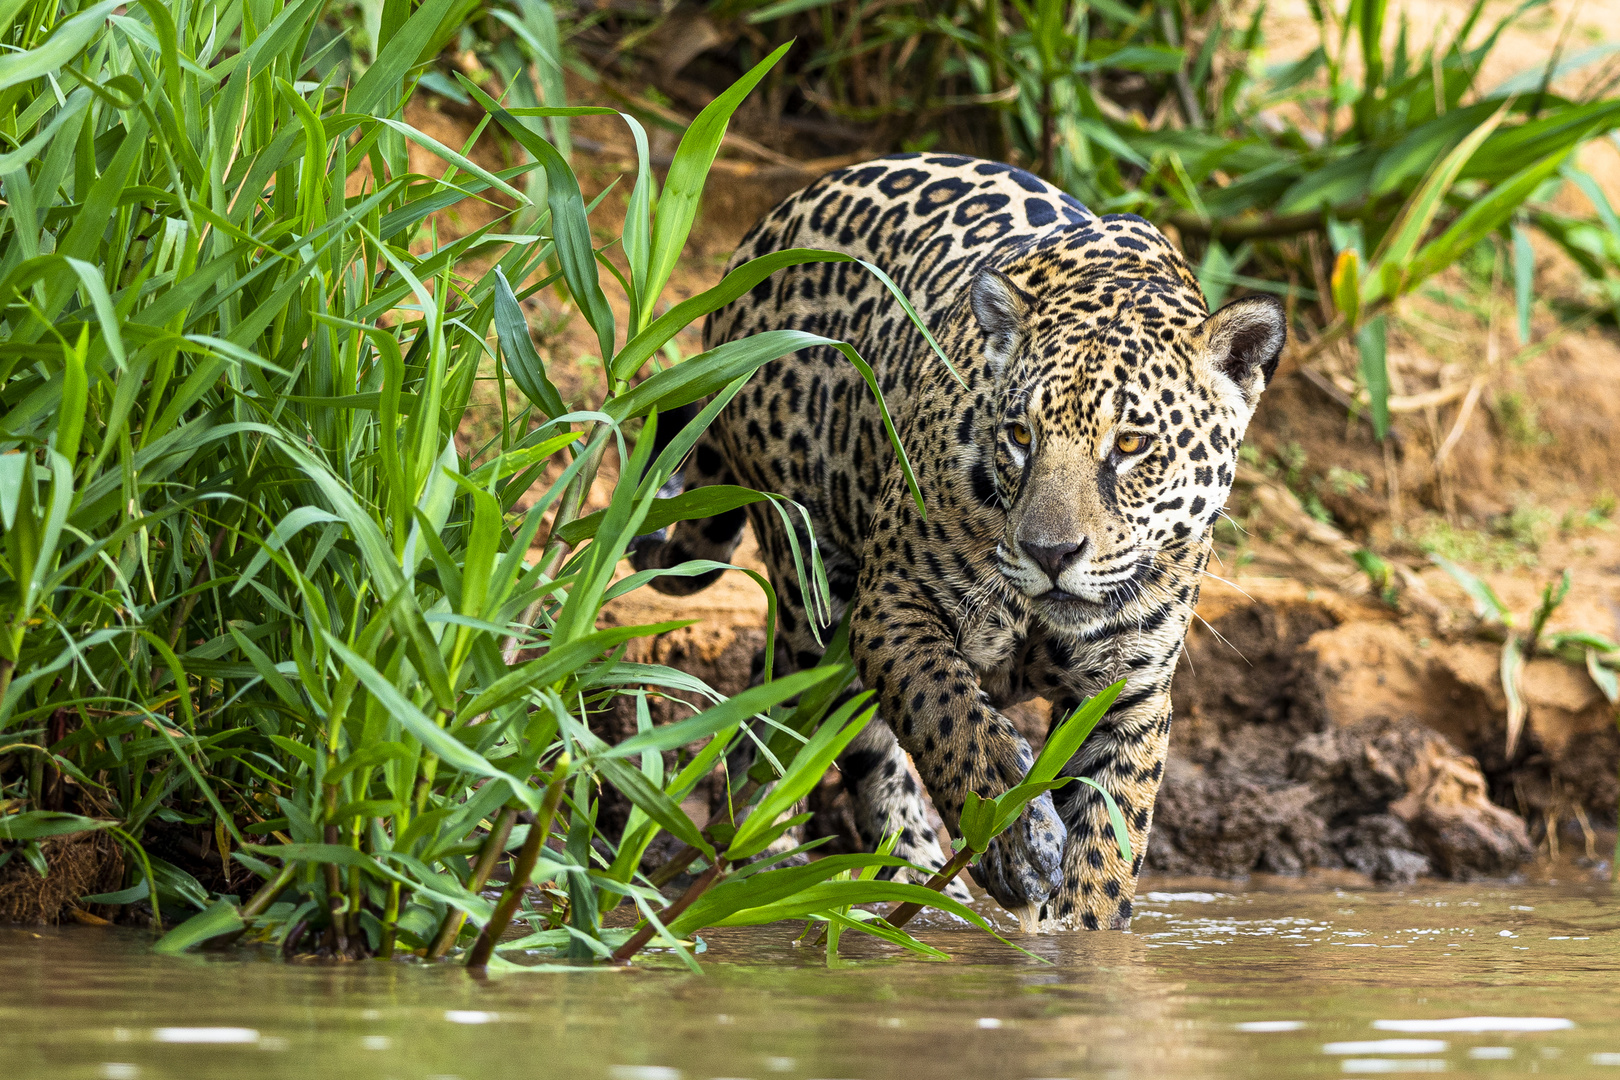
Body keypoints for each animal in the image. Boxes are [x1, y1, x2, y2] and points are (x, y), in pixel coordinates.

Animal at [632, 153, 1285, 930]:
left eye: (1130, 444)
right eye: (1021, 435)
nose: (1050, 554)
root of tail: (767, 228)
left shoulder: (1129, 694)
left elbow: (1108, 844)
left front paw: (1080, 932)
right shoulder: (893, 607)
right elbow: (950, 715)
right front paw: (1014, 840)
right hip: (812, 583)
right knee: (799, 730)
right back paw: (791, 864)